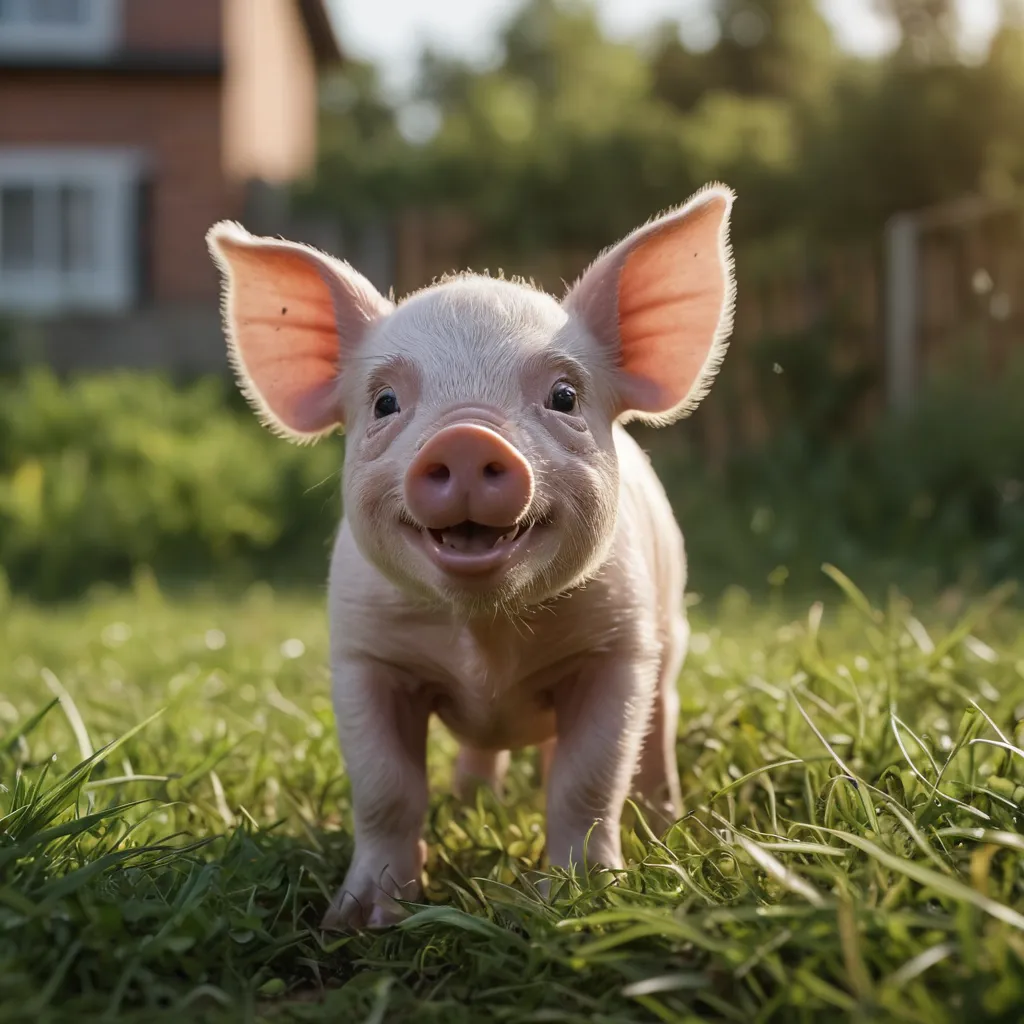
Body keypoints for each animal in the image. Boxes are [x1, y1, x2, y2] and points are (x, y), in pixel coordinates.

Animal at [205, 183, 736, 930]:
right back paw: (472, 803)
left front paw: (577, 901)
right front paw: (360, 919)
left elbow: (588, 781)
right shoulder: (364, 657)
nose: (463, 438)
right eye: (385, 402)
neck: (484, 635)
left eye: (564, 396)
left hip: (673, 635)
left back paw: (664, 823)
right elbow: (386, 788)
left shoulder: (619, 649)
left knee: (658, 727)